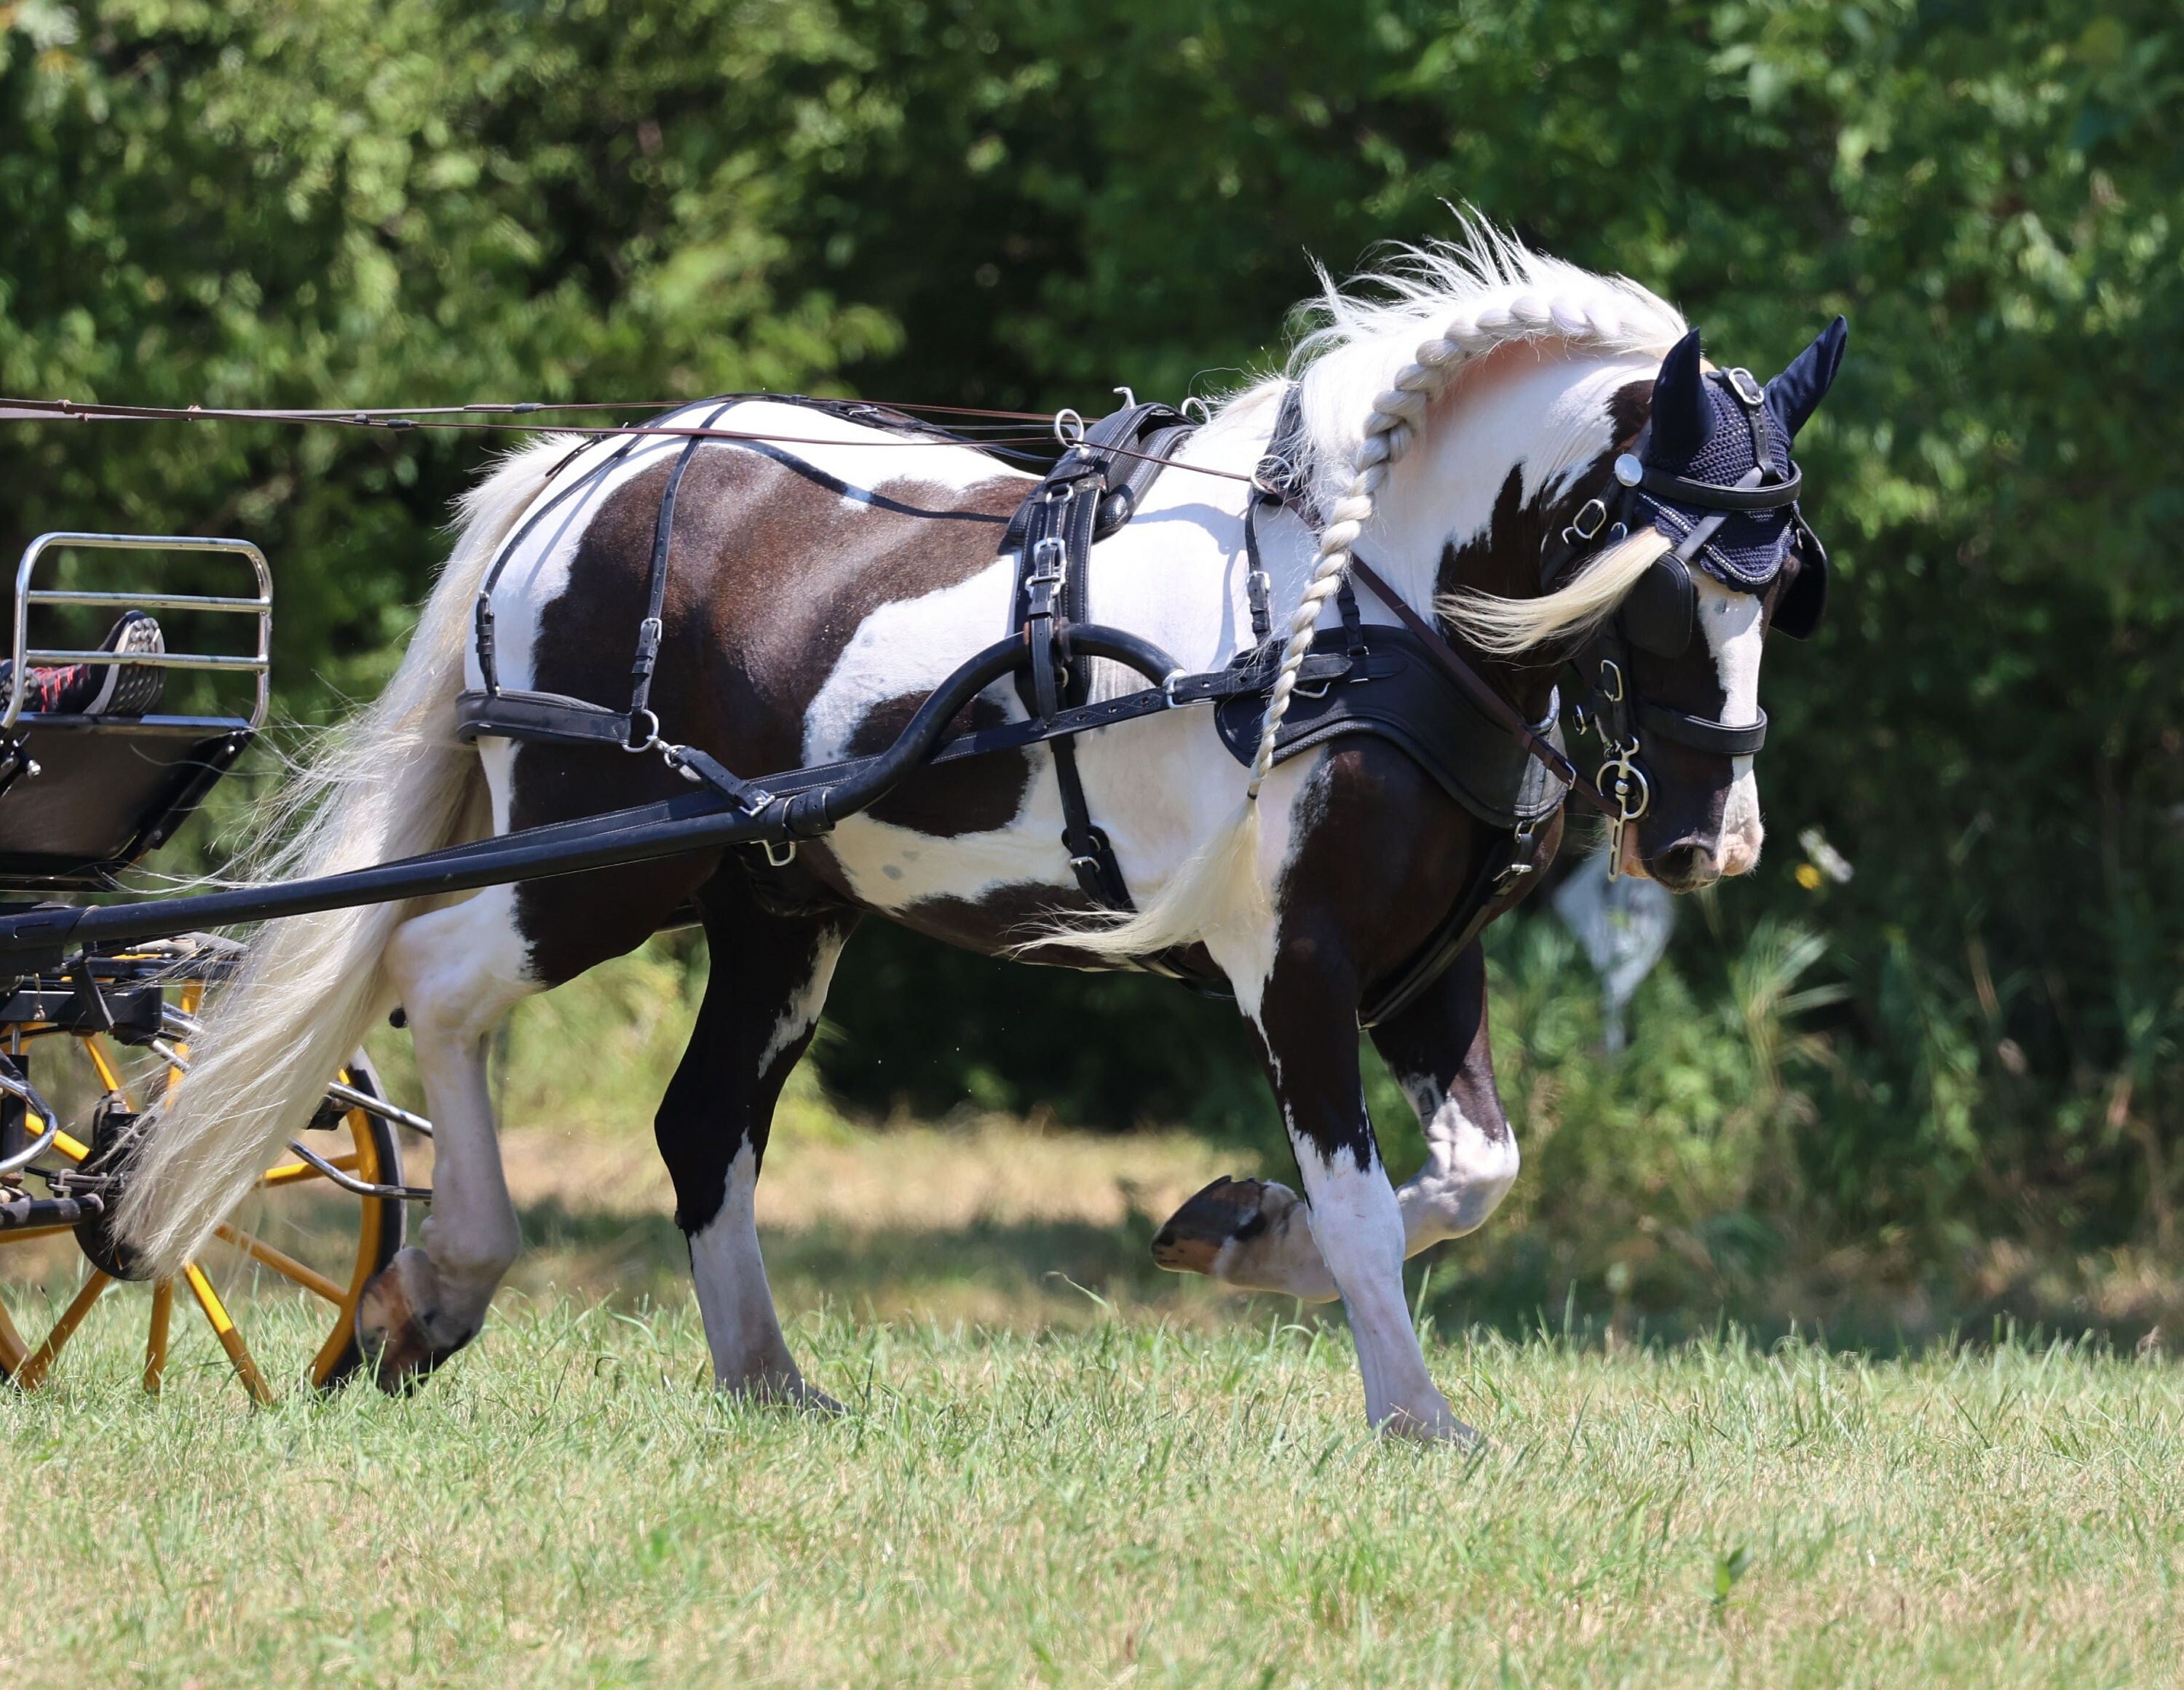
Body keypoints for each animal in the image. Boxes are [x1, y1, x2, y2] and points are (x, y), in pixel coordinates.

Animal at [115, 227, 1844, 1440]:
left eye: (1789, 584)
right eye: (1666, 572)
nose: (1715, 839)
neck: (1352, 611)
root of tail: (587, 467)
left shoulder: (1426, 970)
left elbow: (1474, 1173)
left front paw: (1243, 1234)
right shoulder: (1293, 966)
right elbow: (1364, 1203)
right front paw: (1416, 1414)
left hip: (776, 906)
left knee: (699, 1123)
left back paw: (764, 1377)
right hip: (602, 860)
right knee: (436, 969)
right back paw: (441, 1287)